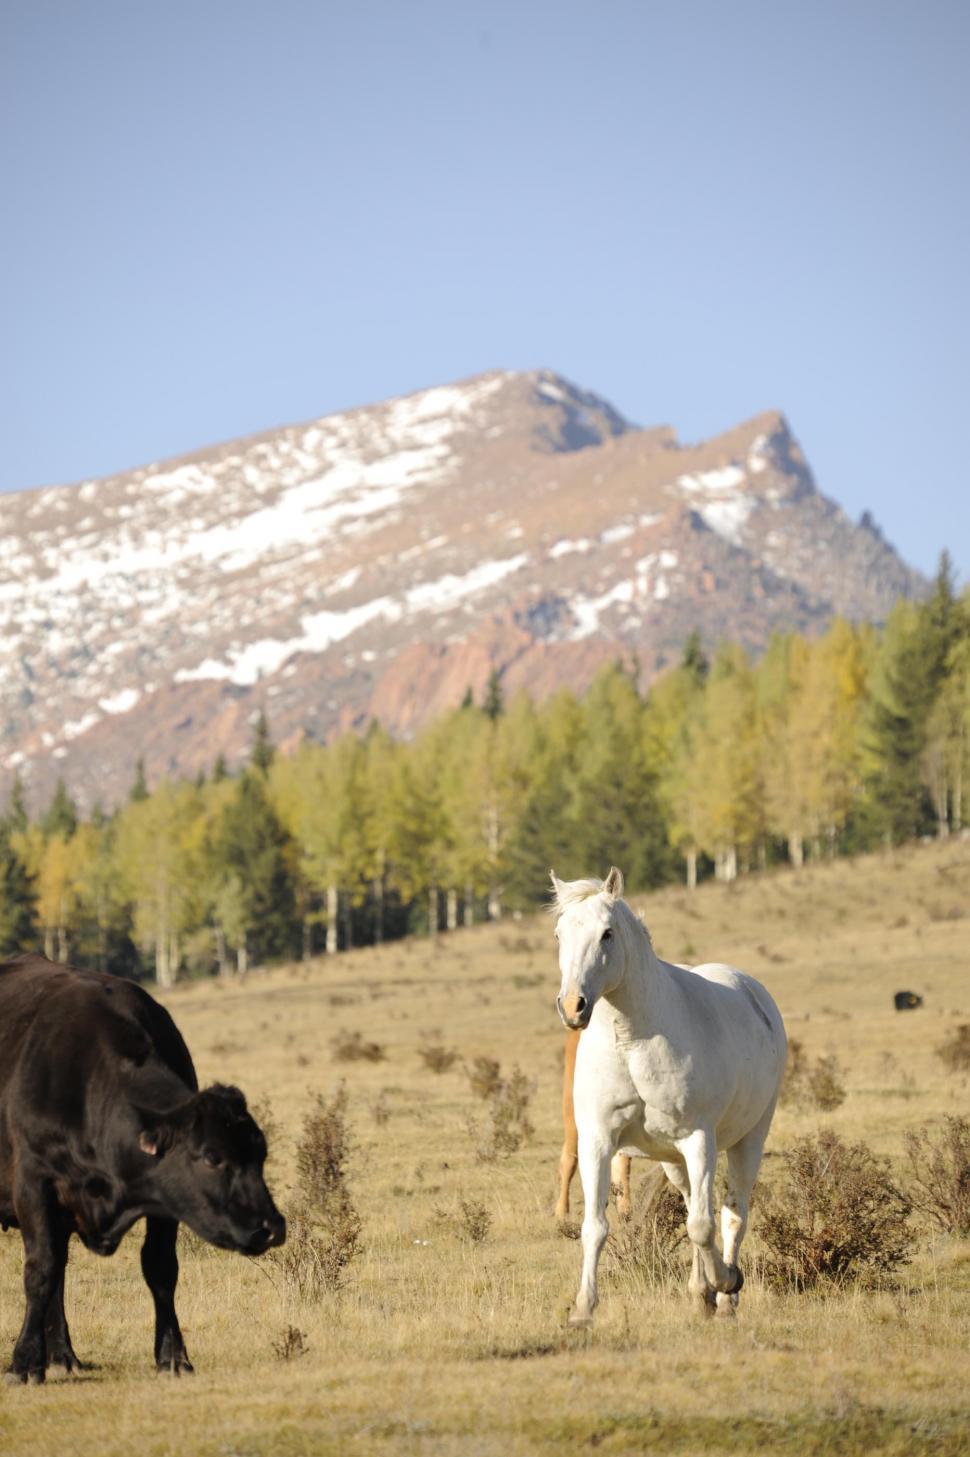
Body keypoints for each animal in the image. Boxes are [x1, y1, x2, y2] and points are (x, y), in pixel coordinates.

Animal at [0, 953, 285, 1384]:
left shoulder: (165, 1201)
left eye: (261, 1153)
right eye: (211, 1157)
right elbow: (40, 1270)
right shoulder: (34, 1183)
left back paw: (64, 1354)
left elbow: (160, 1269)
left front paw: (173, 1355)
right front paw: (24, 1362)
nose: (270, 1227)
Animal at [551, 866, 787, 1322]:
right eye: (559, 934)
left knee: (732, 1213)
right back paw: (700, 1293)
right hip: (673, 1160)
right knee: (696, 1202)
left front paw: (725, 1281)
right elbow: (595, 1226)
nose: (573, 1006)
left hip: (748, 1139)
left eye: (607, 933)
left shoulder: (698, 1139)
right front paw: (583, 1309)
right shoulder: (597, 1141)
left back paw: (725, 1296)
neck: (631, 1041)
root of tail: (756, 993)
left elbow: (702, 1225)